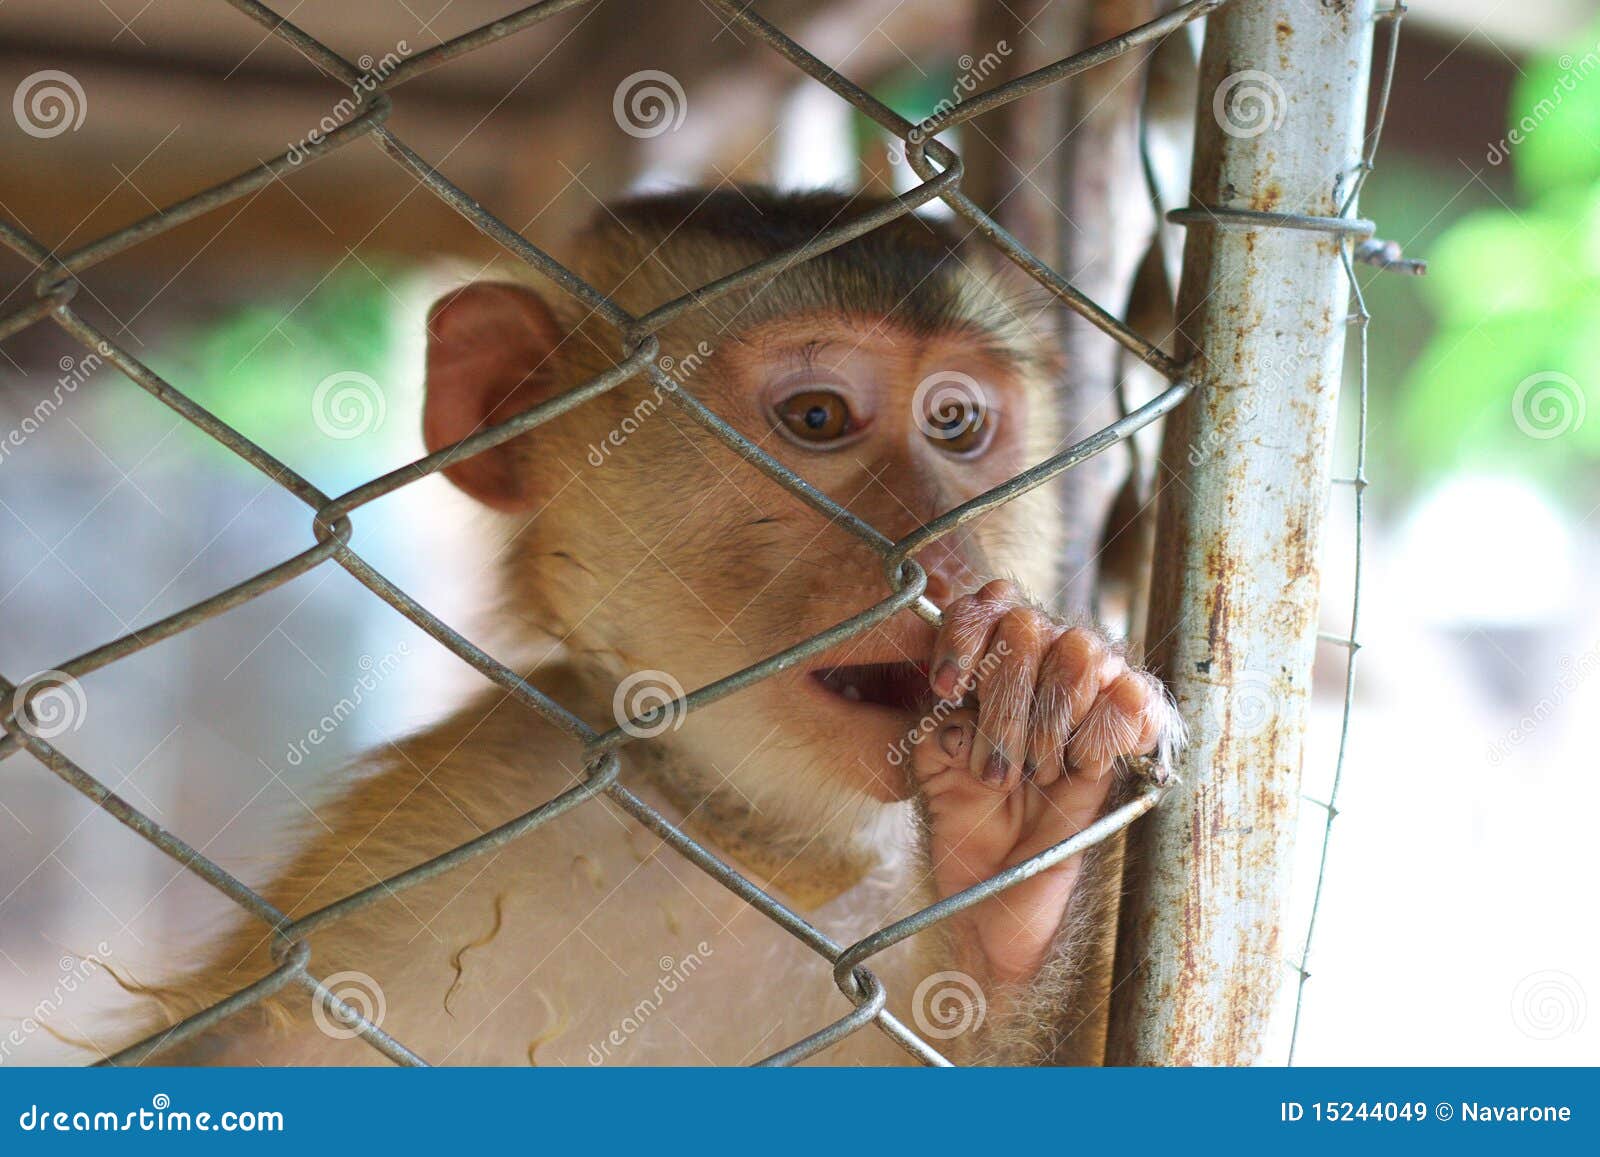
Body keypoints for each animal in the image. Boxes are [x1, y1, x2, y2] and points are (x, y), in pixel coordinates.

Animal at [115, 188, 1176, 1066]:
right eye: (818, 416)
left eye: (955, 422)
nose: (946, 558)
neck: (770, 847)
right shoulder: (467, 808)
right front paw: (1018, 844)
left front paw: (1022, 850)